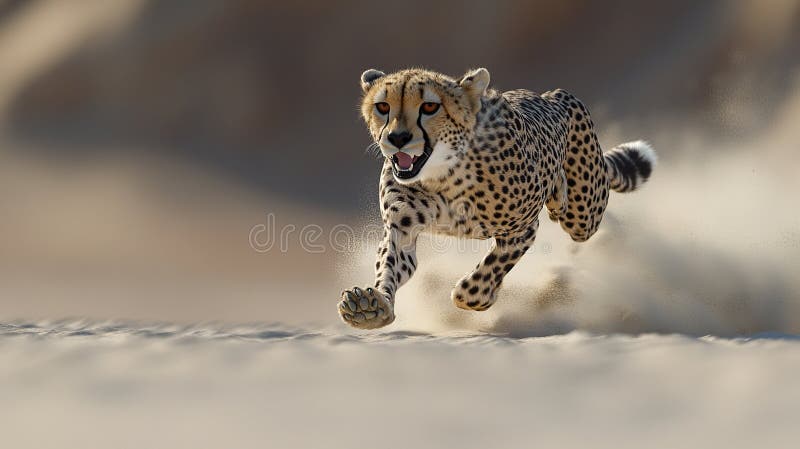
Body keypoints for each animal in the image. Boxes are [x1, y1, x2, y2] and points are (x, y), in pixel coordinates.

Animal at [338, 67, 656, 329]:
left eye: (429, 106)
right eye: (383, 106)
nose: (398, 138)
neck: (443, 175)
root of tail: (546, 95)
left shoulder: (523, 229)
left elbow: (485, 274)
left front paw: (479, 296)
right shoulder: (400, 231)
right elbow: (390, 266)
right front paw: (370, 307)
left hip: (583, 213)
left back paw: (563, 198)